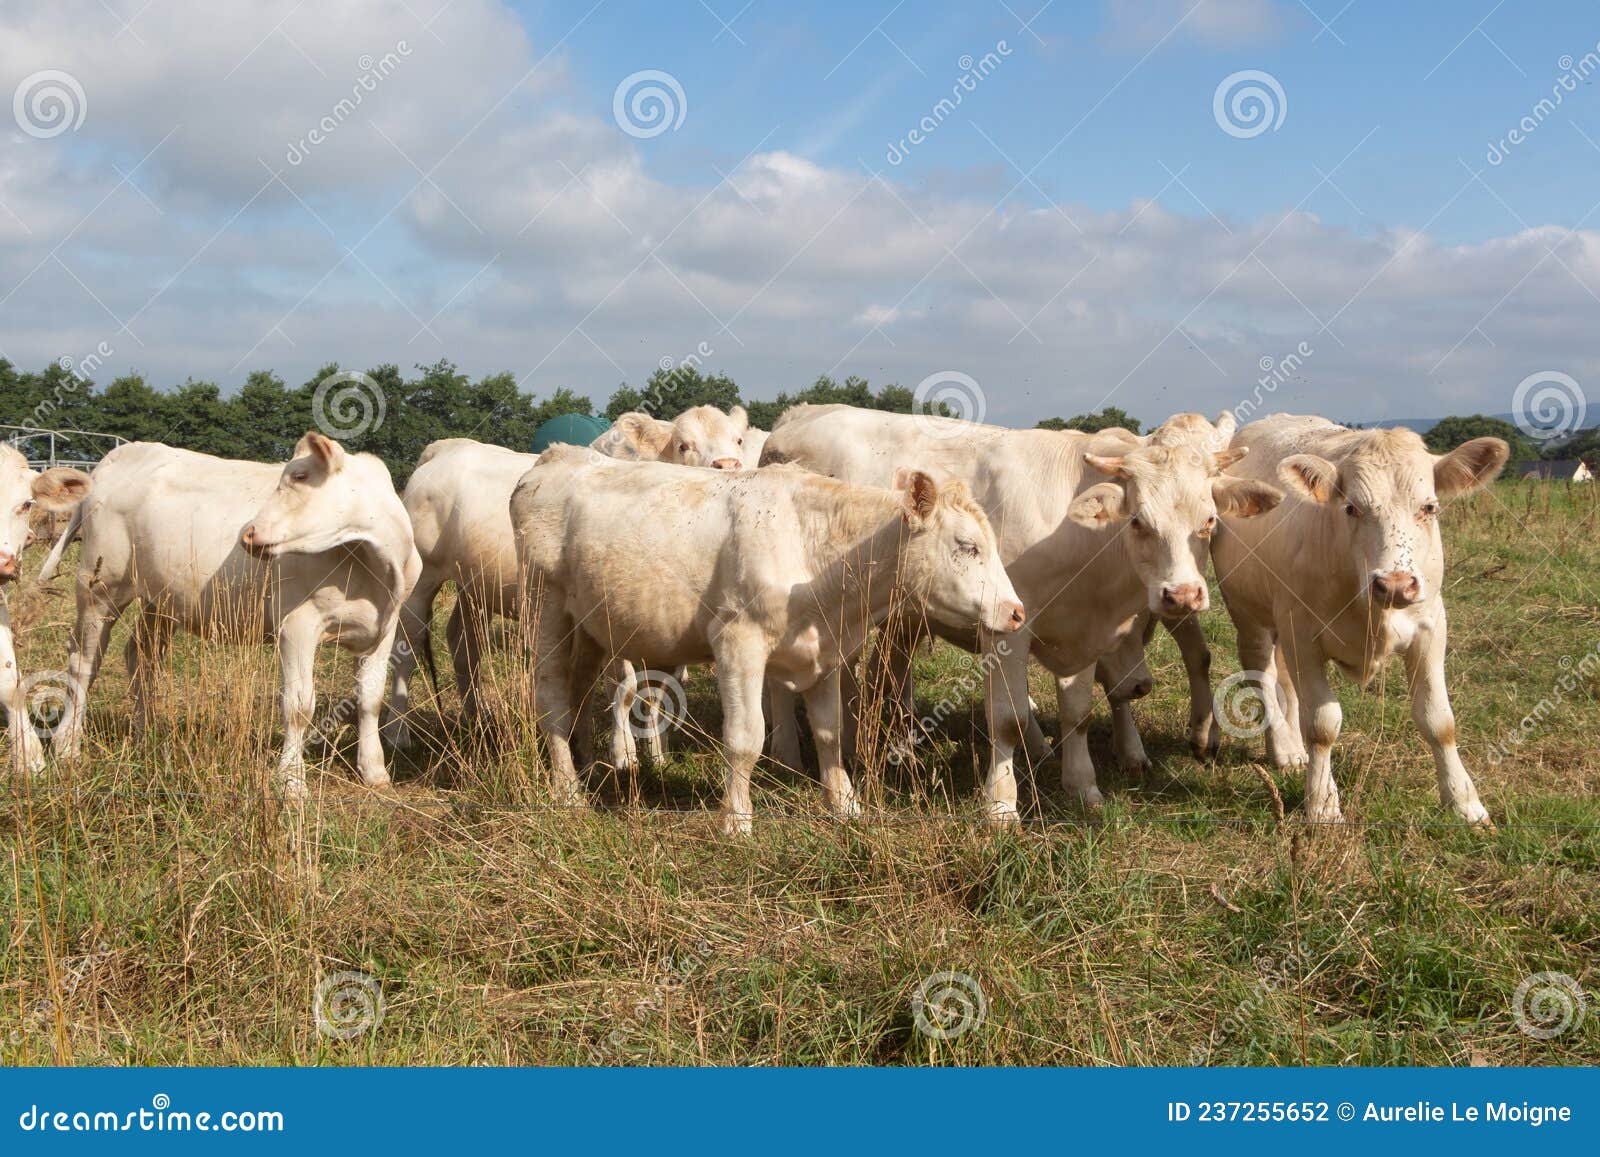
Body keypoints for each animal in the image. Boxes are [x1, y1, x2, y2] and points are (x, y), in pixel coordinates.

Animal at [37, 434, 420, 796]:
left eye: (299, 475)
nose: (247, 534)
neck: (375, 564)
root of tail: (120, 456)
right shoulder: (297, 624)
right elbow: (299, 706)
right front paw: (292, 781)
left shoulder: (384, 628)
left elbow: (370, 698)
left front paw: (374, 771)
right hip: (100, 587)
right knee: (84, 663)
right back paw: (67, 746)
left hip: (160, 599)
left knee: (141, 654)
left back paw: (146, 734)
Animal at [510, 447, 1024, 834]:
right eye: (967, 546)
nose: (1016, 612)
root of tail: (555, 457)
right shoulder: (738, 642)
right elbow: (745, 738)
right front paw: (736, 819)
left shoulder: (825, 651)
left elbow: (829, 732)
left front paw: (844, 805)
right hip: (545, 608)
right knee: (552, 696)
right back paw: (568, 790)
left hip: (592, 624)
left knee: (579, 692)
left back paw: (589, 767)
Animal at [760, 404, 1282, 822]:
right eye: (1138, 521)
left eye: (1209, 520)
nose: (1183, 596)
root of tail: (796, 417)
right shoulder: (1007, 627)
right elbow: (1007, 718)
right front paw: (1000, 804)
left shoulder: (1084, 633)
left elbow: (1078, 714)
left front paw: (1083, 786)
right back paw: (787, 756)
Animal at [1209, 415, 1508, 825]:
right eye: (1351, 508)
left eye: (1429, 507)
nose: (1395, 584)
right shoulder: (1302, 634)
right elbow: (1322, 725)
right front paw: (1323, 804)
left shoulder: (1431, 627)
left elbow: (1438, 720)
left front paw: (1464, 802)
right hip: (1250, 616)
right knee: (1264, 677)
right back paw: (1283, 746)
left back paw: (1294, 750)